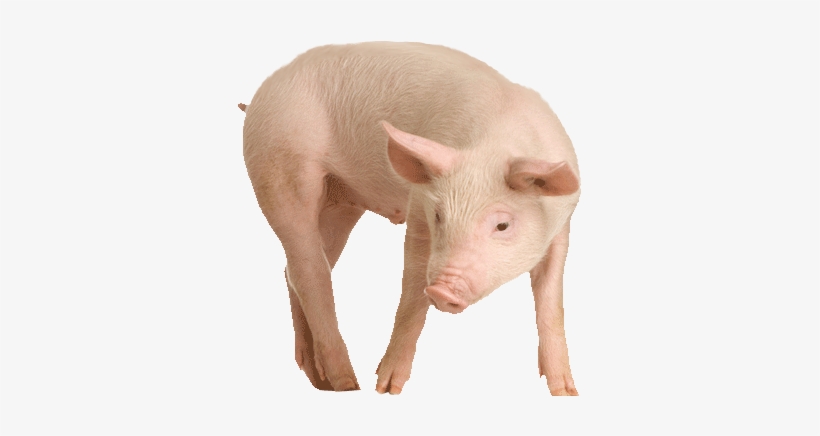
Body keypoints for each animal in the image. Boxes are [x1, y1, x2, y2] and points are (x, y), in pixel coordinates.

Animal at [241, 42, 581, 395]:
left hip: (340, 204)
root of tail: (259, 97)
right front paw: (386, 389)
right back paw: (348, 384)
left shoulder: (563, 228)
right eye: (439, 215)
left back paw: (319, 381)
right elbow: (413, 292)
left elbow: (551, 302)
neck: (495, 144)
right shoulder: (418, 204)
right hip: (279, 165)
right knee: (311, 272)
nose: (442, 290)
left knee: (297, 269)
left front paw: (566, 391)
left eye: (503, 224)